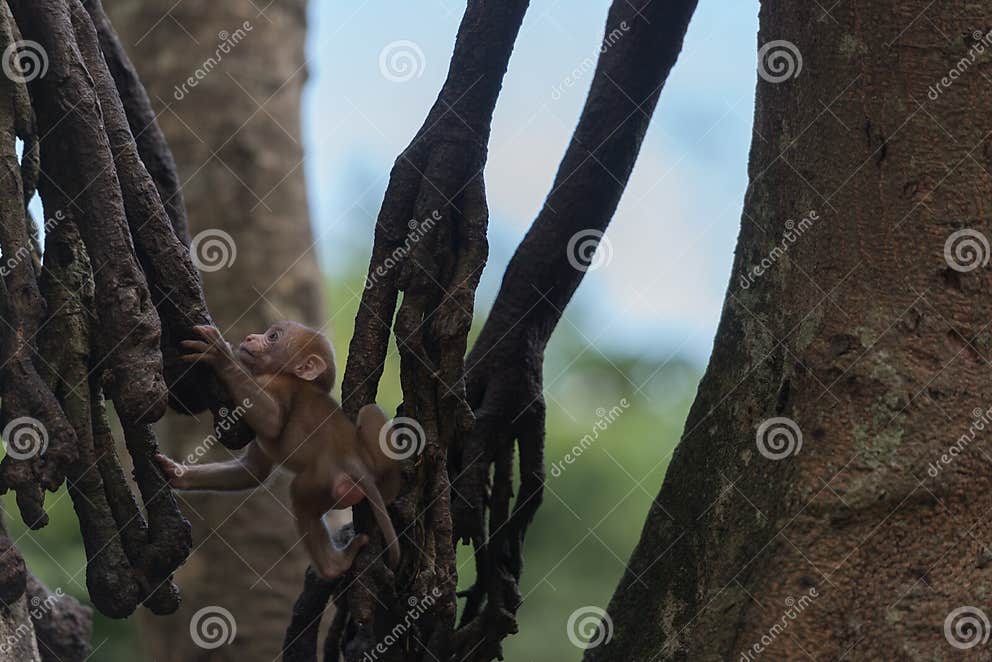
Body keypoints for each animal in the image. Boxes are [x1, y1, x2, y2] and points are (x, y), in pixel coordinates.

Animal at [154, 322, 403, 579]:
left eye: (273, 336)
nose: (250, 337)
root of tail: (353, 460)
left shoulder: (274, 382)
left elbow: (273, 423)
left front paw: (222, 356)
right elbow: (253, 471)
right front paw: (176, 474)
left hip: (323, 478)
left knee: (300, 492)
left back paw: (334, 566)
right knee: (370, 411)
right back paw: (390, 491)